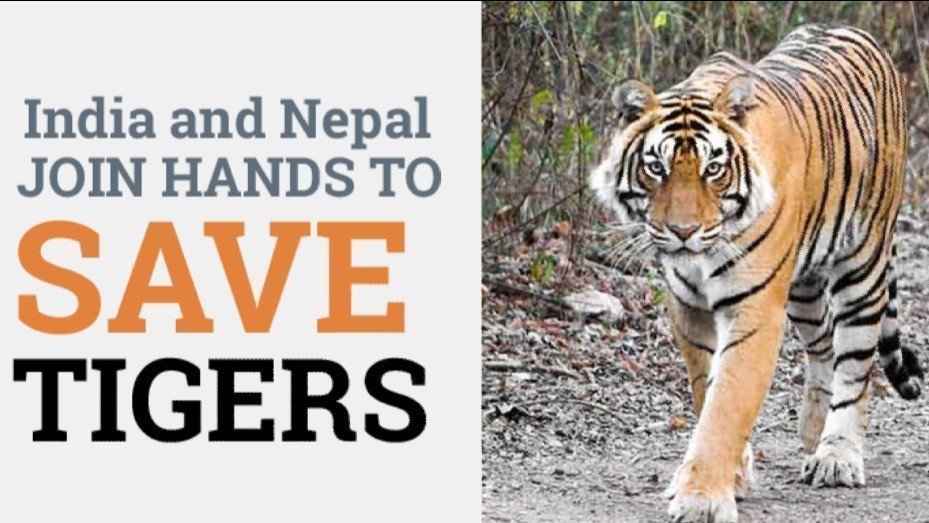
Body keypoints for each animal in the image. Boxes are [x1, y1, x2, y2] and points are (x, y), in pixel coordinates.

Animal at [589, 24, 923, 522]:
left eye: (713, 169)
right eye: (656, 168)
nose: (683, 231)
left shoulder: (756, 309)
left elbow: (728, 403)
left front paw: (702, 498)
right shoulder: (688, 306)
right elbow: (707, 390)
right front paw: (735, 475)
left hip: (862, 266)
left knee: (854, 364)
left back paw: (836, 455)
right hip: (804, 286)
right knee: (823, 346)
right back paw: (814, 431)